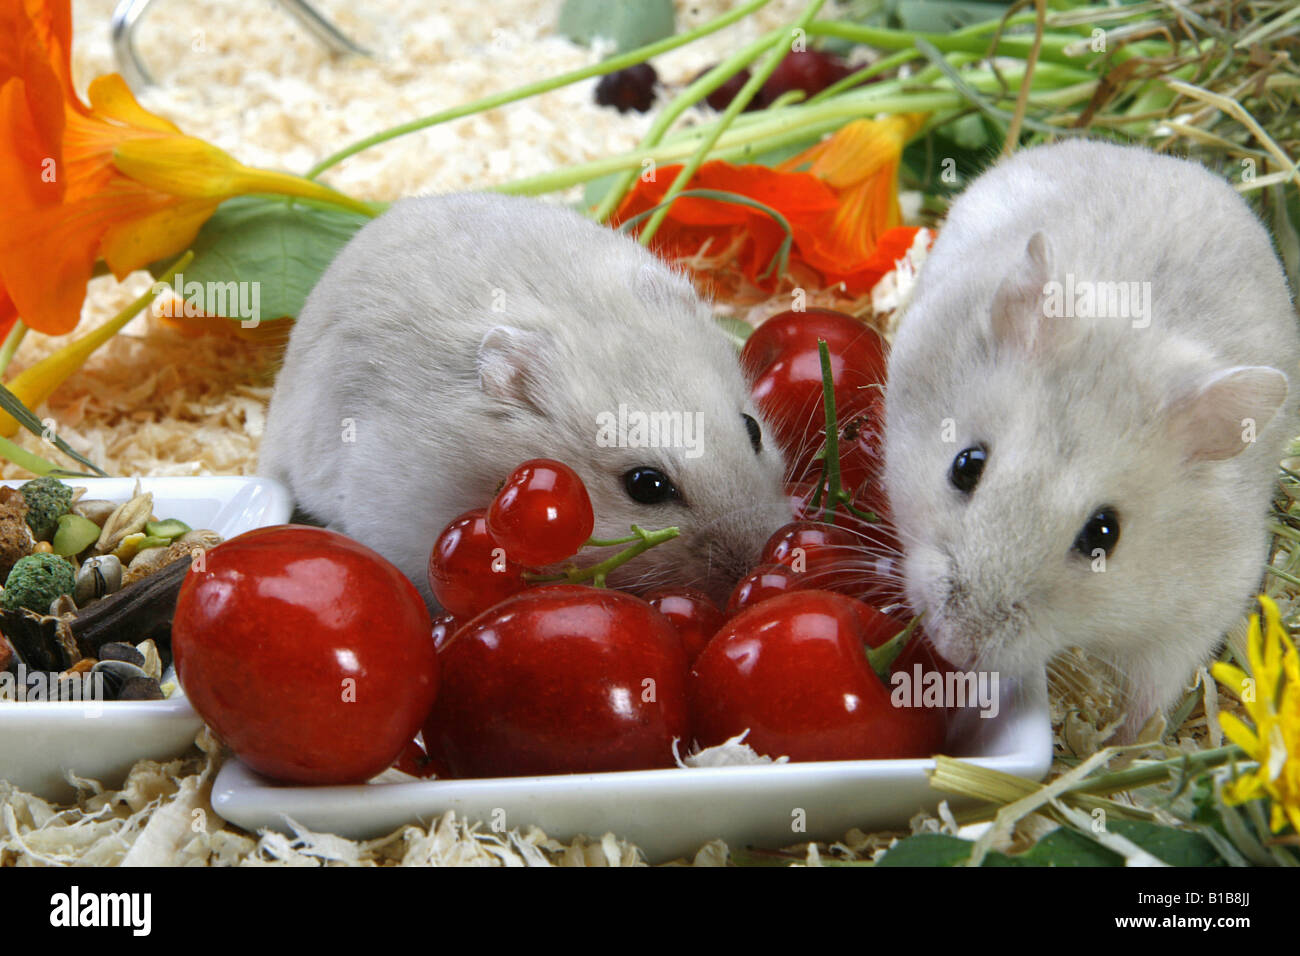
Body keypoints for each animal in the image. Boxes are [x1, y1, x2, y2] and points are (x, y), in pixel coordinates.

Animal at [883, 139, 1300, 737]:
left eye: (1104, 535)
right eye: (965, 465)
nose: (956, 646)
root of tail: (1148, 154)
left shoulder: (1196, 611)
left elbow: (1151, 693)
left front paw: (1129, 740)